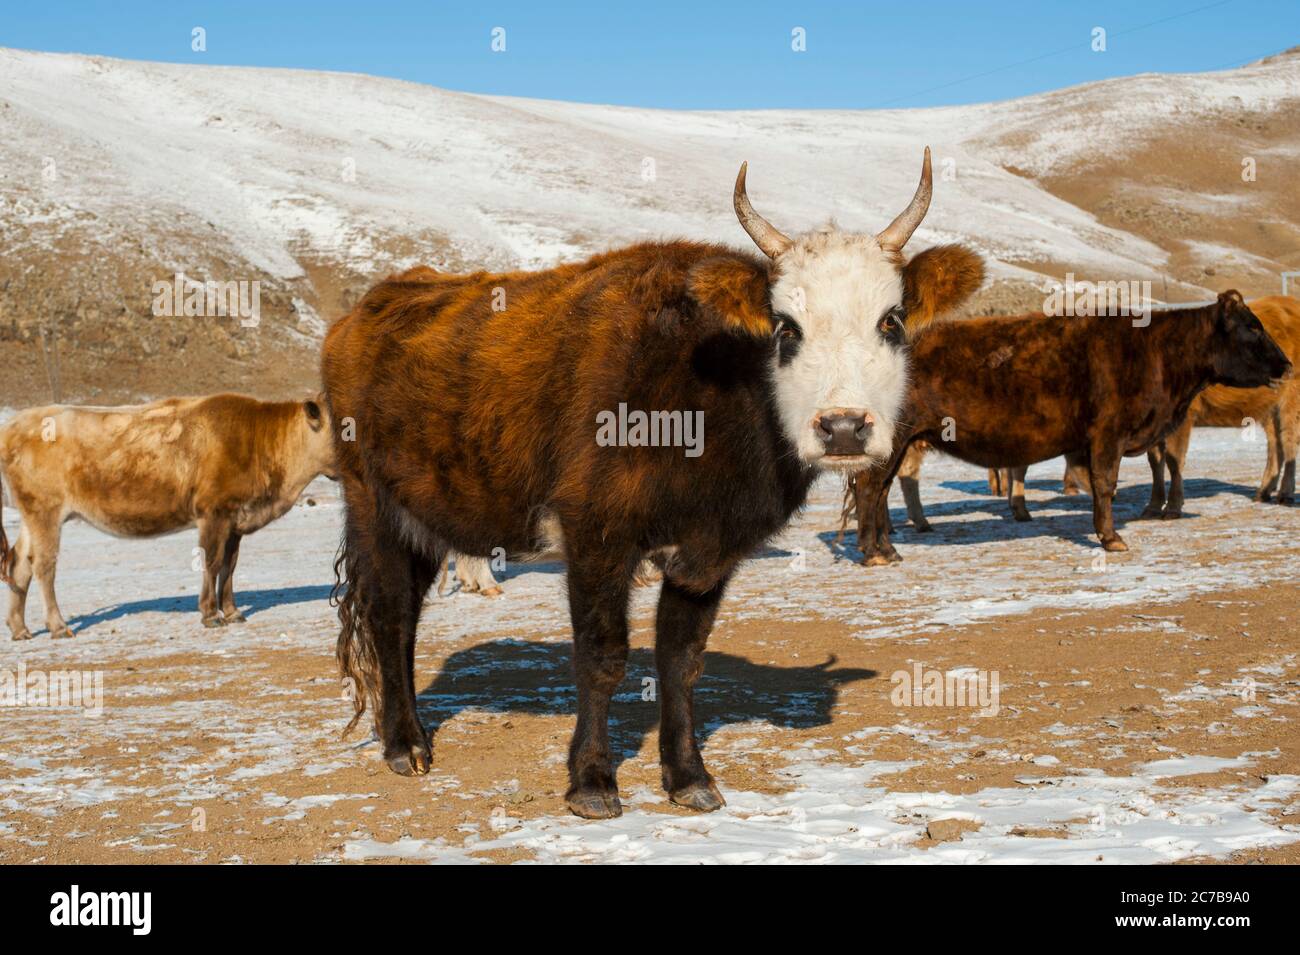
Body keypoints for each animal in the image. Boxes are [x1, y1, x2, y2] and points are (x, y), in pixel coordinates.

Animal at [0, 394, 336, 638]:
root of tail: (14, 424)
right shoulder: (213, 513)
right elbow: (212, 561)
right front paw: (210, 614)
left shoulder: (236, 519)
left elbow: (229, 566)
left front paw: (232, 611)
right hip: (45, 510)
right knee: (43, 566)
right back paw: (58, 626)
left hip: (32, 514)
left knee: (20, 564)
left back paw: (20, 629)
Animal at [322, 151, 985, 818]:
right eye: (786, 327)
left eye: (891, 320)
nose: (843, 426)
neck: (701, 397)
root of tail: (366, 309)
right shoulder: (595, 535)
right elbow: (603, 657)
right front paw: (592, 782)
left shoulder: (708, 552)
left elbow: (681, 660)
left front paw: (688, 776)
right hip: (372, 502)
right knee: (388, 613)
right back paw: (405, 746)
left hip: (425, 516)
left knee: (408, 615)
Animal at [1144, 295, 1300, 517]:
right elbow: (1155, 461)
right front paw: (1153, 506)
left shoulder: (1182, 418)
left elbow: (1174, 461)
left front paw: (1173, 507)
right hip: (1270, 406)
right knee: (1275, 443)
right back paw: (1264, 491)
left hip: (1292, 399)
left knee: (1289, 440)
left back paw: (1285, 493)